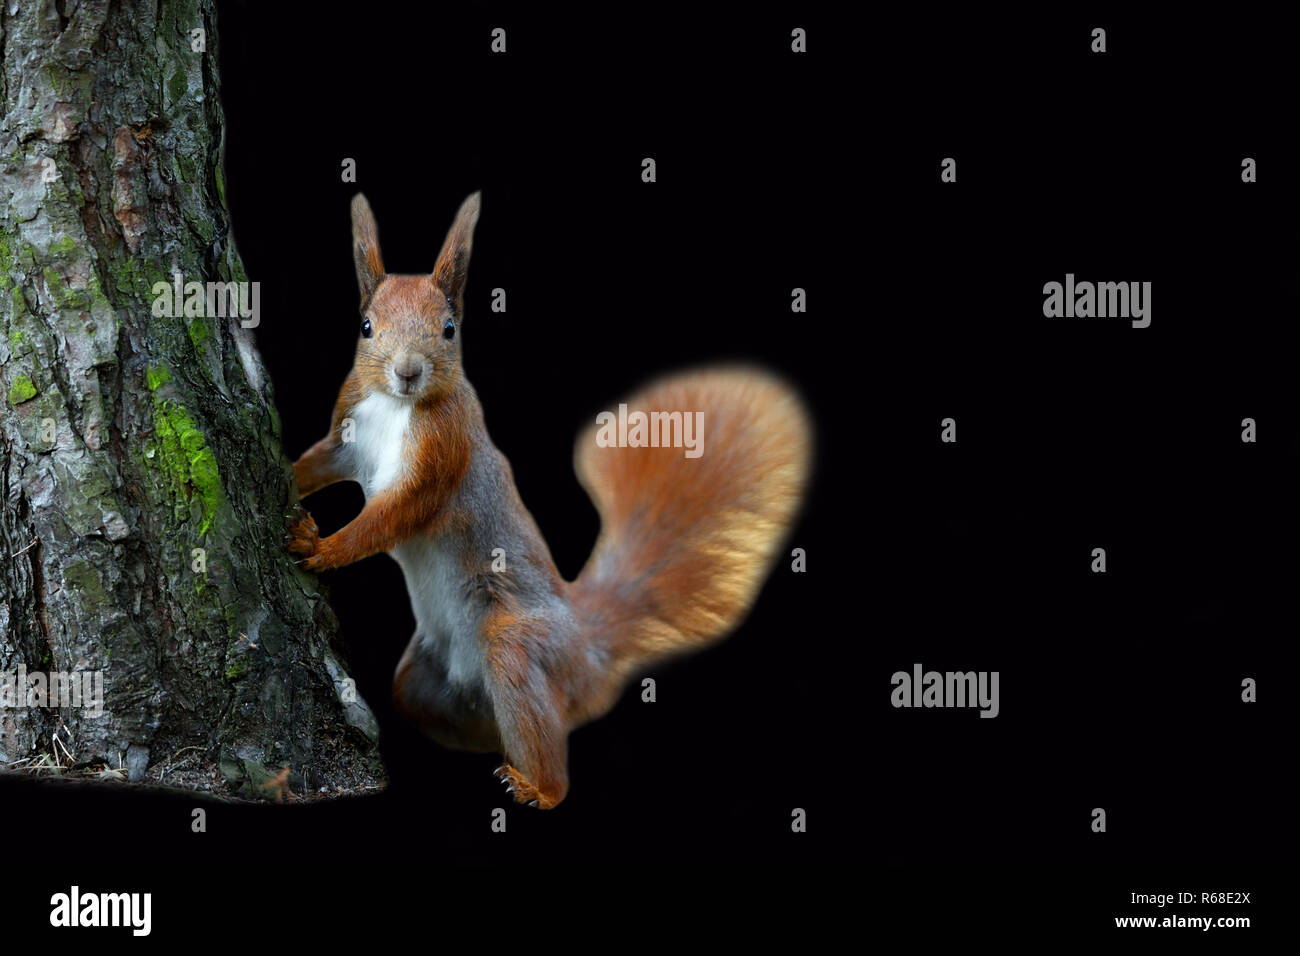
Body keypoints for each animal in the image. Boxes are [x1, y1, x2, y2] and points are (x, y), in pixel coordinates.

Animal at [287, 192, 811, 808]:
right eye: (366, 326)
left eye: (449, 328)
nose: (407, 372)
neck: (396, 408)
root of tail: (586, 647)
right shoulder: (347, 435)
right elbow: (320, 462)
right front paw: (291, 479)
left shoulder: (442, 457)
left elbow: (392, 517)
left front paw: (323, 546)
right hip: (423, 685)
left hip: (518, 644)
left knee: (547, 737)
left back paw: (538, 787)